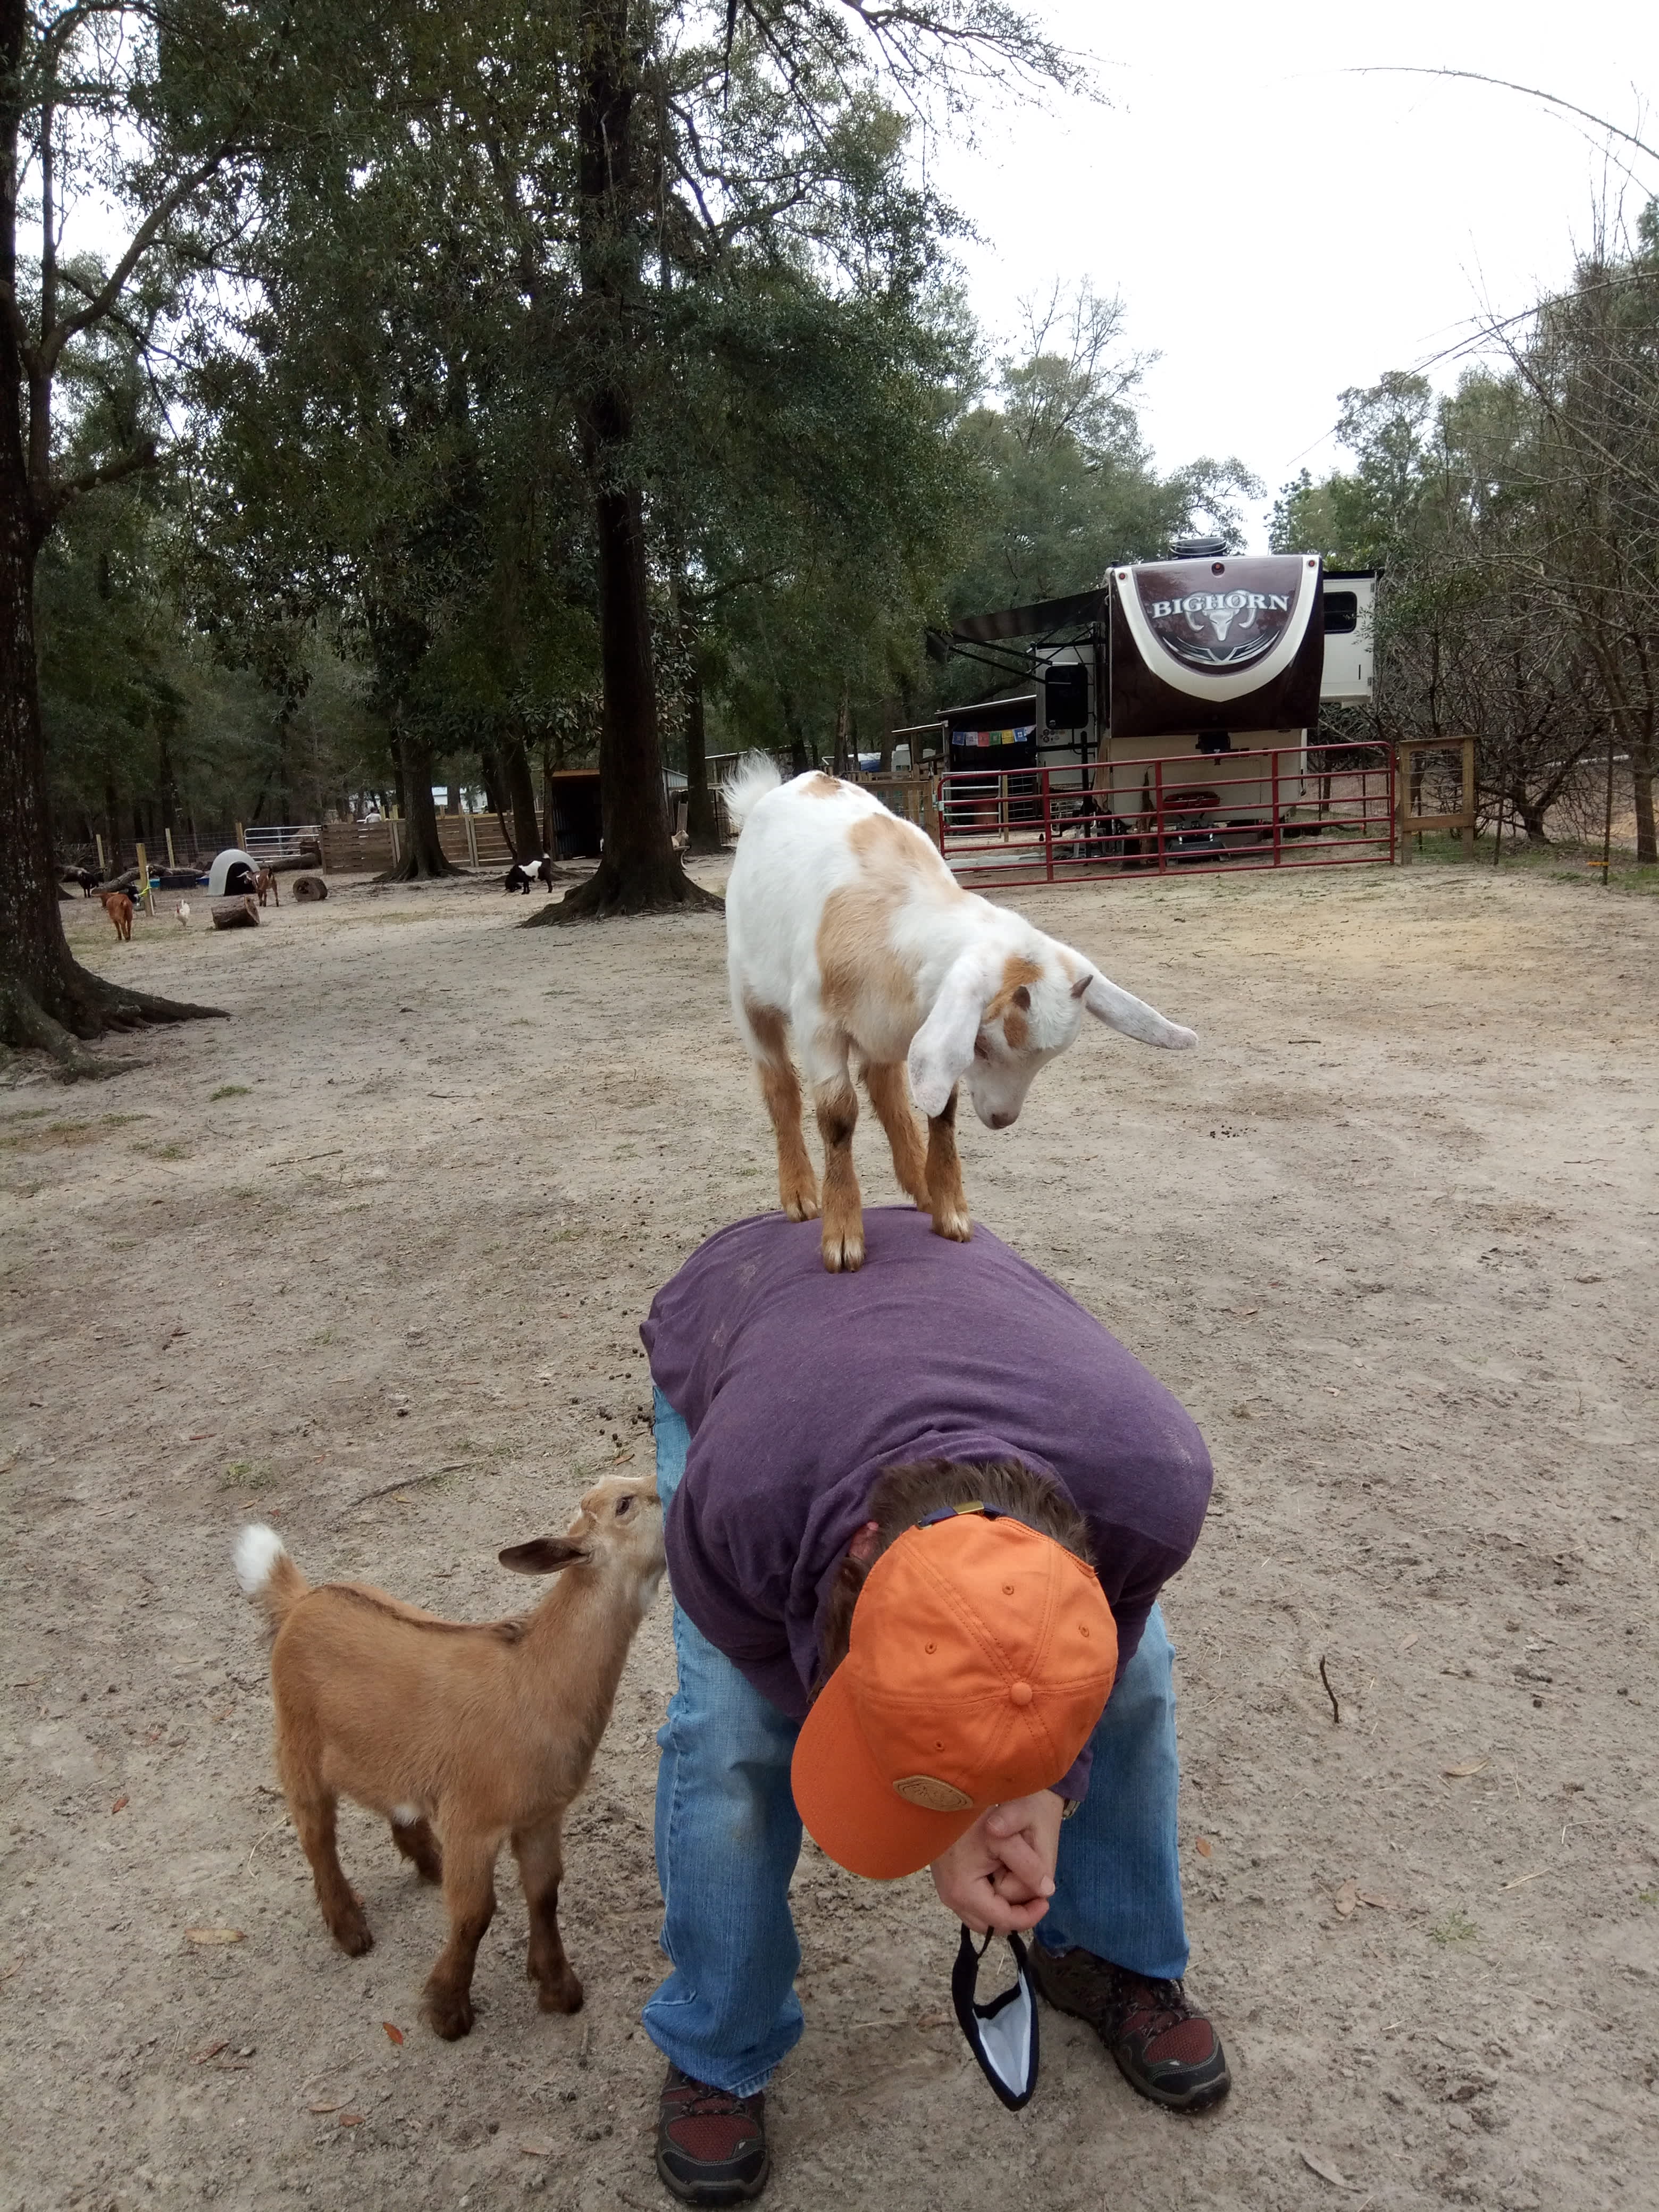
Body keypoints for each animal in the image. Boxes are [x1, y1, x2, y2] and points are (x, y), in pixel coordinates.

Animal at [235, 1472, 663, 2039]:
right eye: (625, 1505)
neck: (536, 1676)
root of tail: (305, 1600)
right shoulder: (472, 1821)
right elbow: (474, 1914)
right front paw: (448, 2011)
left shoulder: (541, 1815)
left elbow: (544, 1893)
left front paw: (558, 1989)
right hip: (297, 1737)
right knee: (315, 1830)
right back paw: (350, 1929)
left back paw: (427, 1862)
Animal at [722, 759, 1197, 1271]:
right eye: (982, 1046)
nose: (1003, 1119)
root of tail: (776, 791)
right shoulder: (819, 1028)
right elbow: (838, 1117)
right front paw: (843, 1238)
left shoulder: (924, 1023)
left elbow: (942, 1110)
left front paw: (950, 1212)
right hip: (748, 993)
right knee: (780, 1087)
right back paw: (800, 1195)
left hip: (885, 1030)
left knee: (886, 1086)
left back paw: (919, 1182)